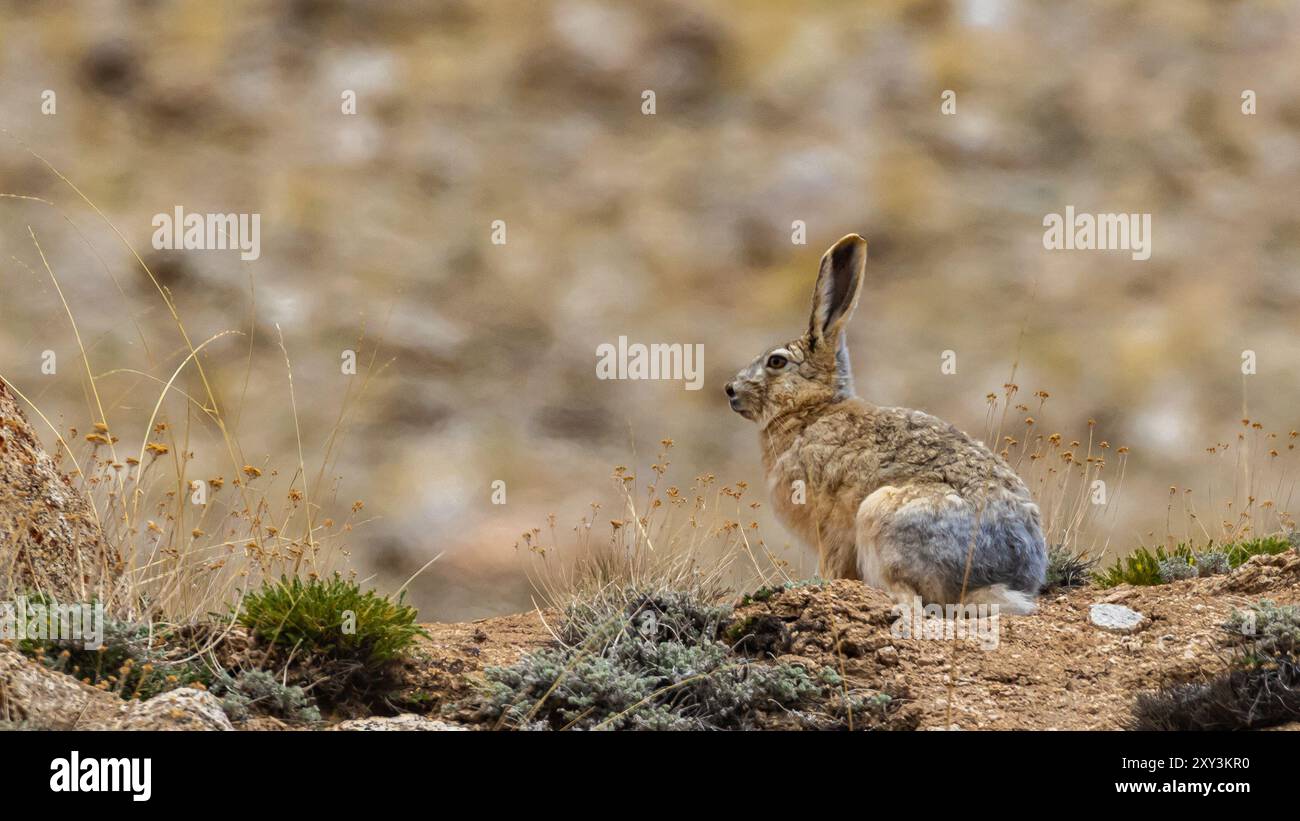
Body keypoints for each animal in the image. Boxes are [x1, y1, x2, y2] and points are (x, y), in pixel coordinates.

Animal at [725, 234, 1047, 614]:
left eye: (776, 362)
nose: (730, 390)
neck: (812, 409)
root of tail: (1006, 576)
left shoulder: (830, 531)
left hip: (880, 517)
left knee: (911, 597)